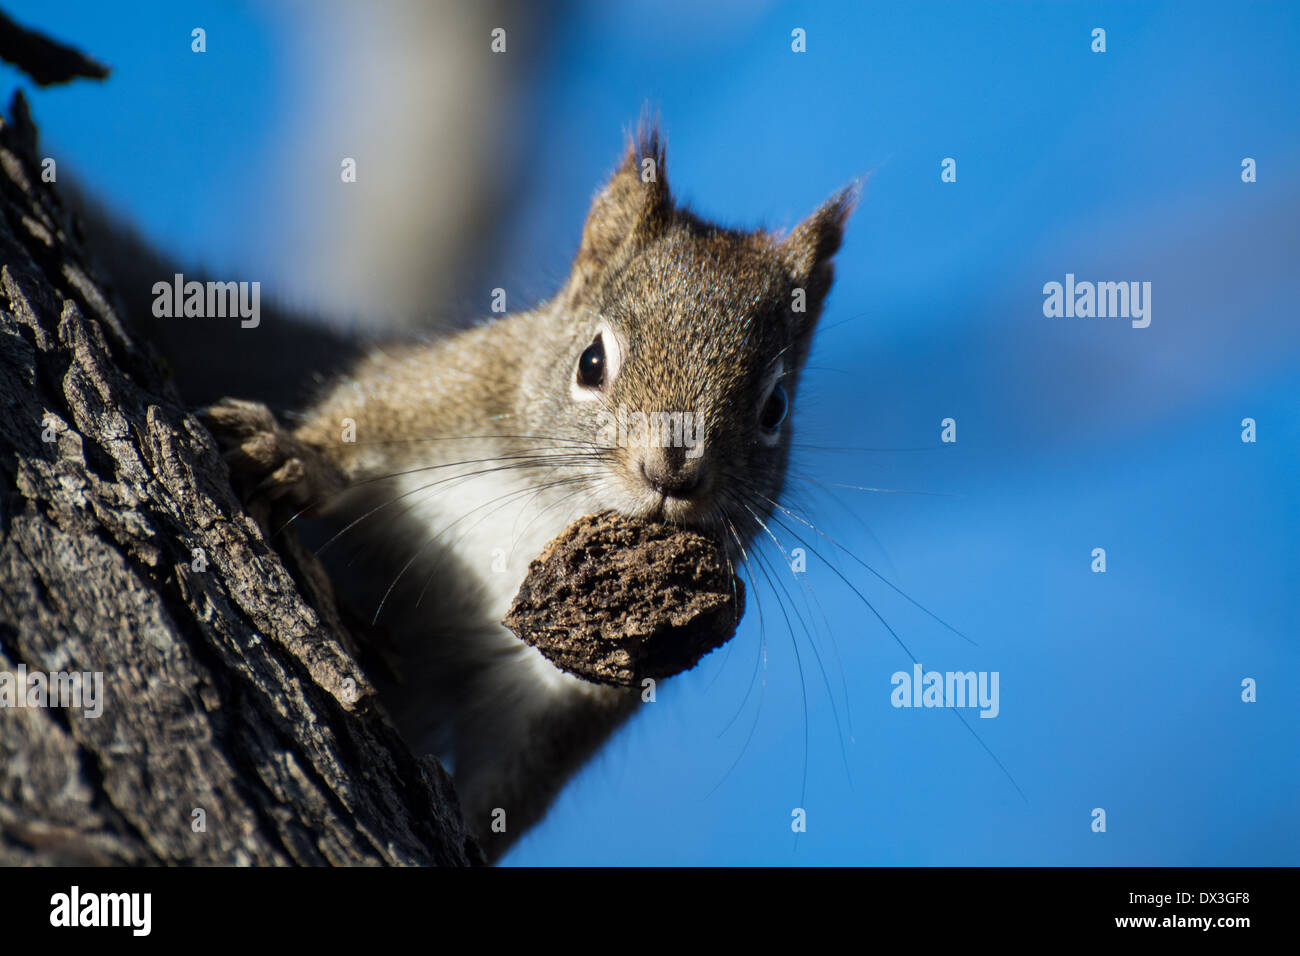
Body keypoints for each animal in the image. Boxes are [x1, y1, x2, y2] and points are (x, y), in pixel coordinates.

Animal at [202, 120, 855, 861]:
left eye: (776, 409)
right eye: (590, 361)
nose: (672, 472)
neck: (550, 513)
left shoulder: (562, 695)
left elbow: (509, 785)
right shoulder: (444, 393)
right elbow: (358, 417)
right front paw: (293, 457)